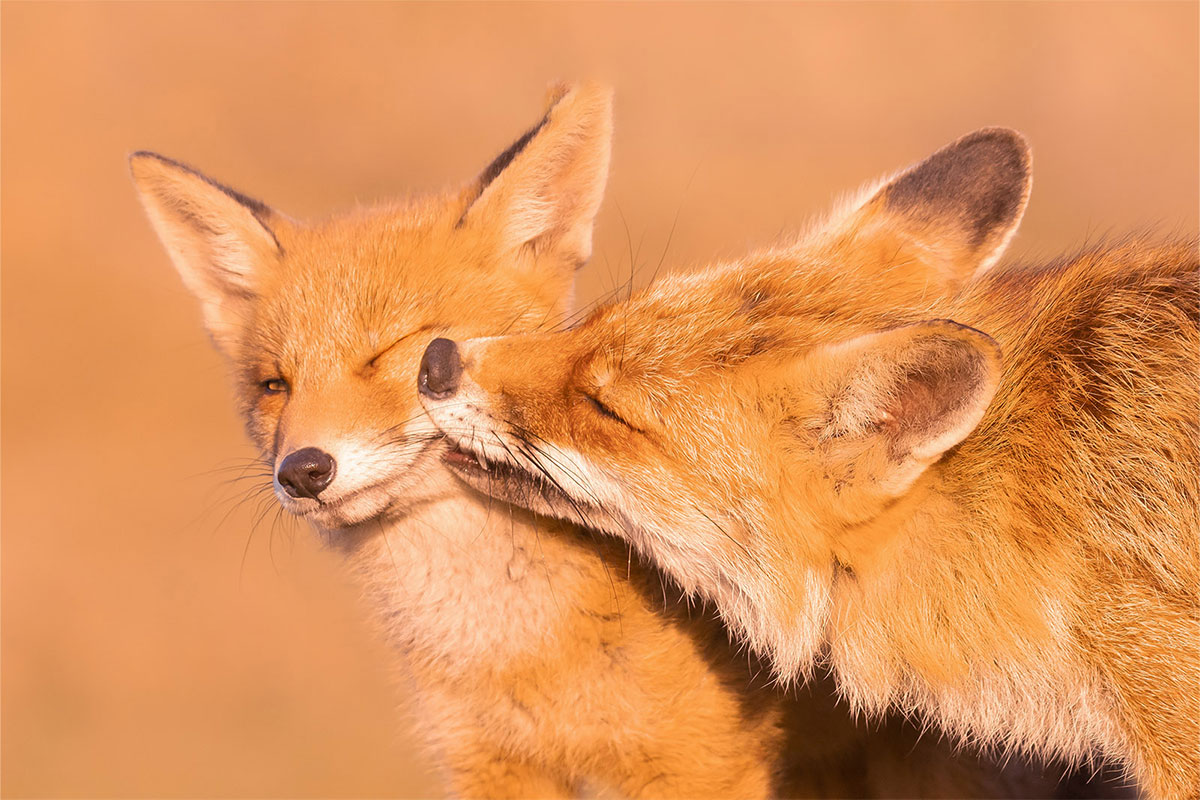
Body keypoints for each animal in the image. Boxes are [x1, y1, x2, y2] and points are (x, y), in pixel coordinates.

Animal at [129, 84, 1099, 798]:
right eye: (274, 387)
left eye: (400, 354)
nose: (303, 471)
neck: (514, 654)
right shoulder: (490, 769)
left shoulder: (697, 764)